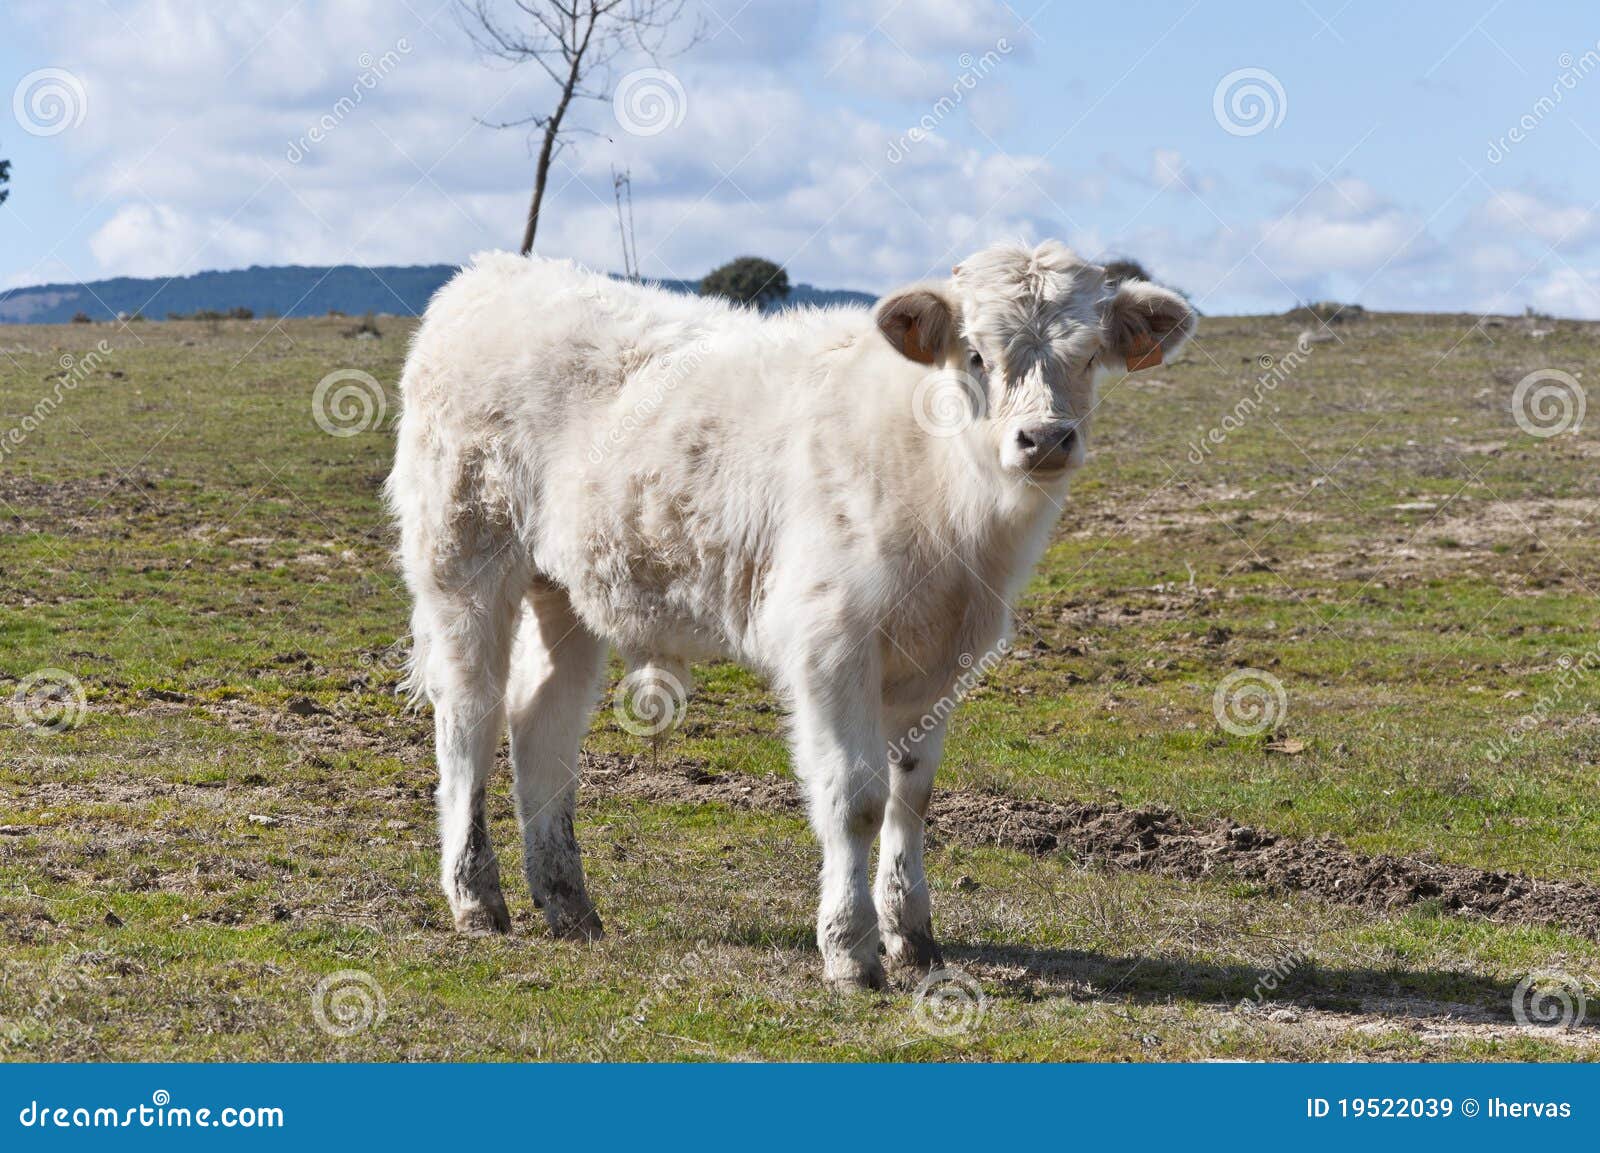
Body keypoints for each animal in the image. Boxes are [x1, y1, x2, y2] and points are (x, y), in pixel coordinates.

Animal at [385, 240, 1195, 989]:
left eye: (1087, 357)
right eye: (974, 353)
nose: (1046, 438)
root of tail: (495, 272)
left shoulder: (941, 660)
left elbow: (912, 795)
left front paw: (914, 939)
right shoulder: (830, 644)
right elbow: (857, 799)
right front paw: (850, 951)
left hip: (568, 590)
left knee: (541, 724)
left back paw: (568, 903)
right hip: (463, 564)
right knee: (469, 720)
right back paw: (476, 898)